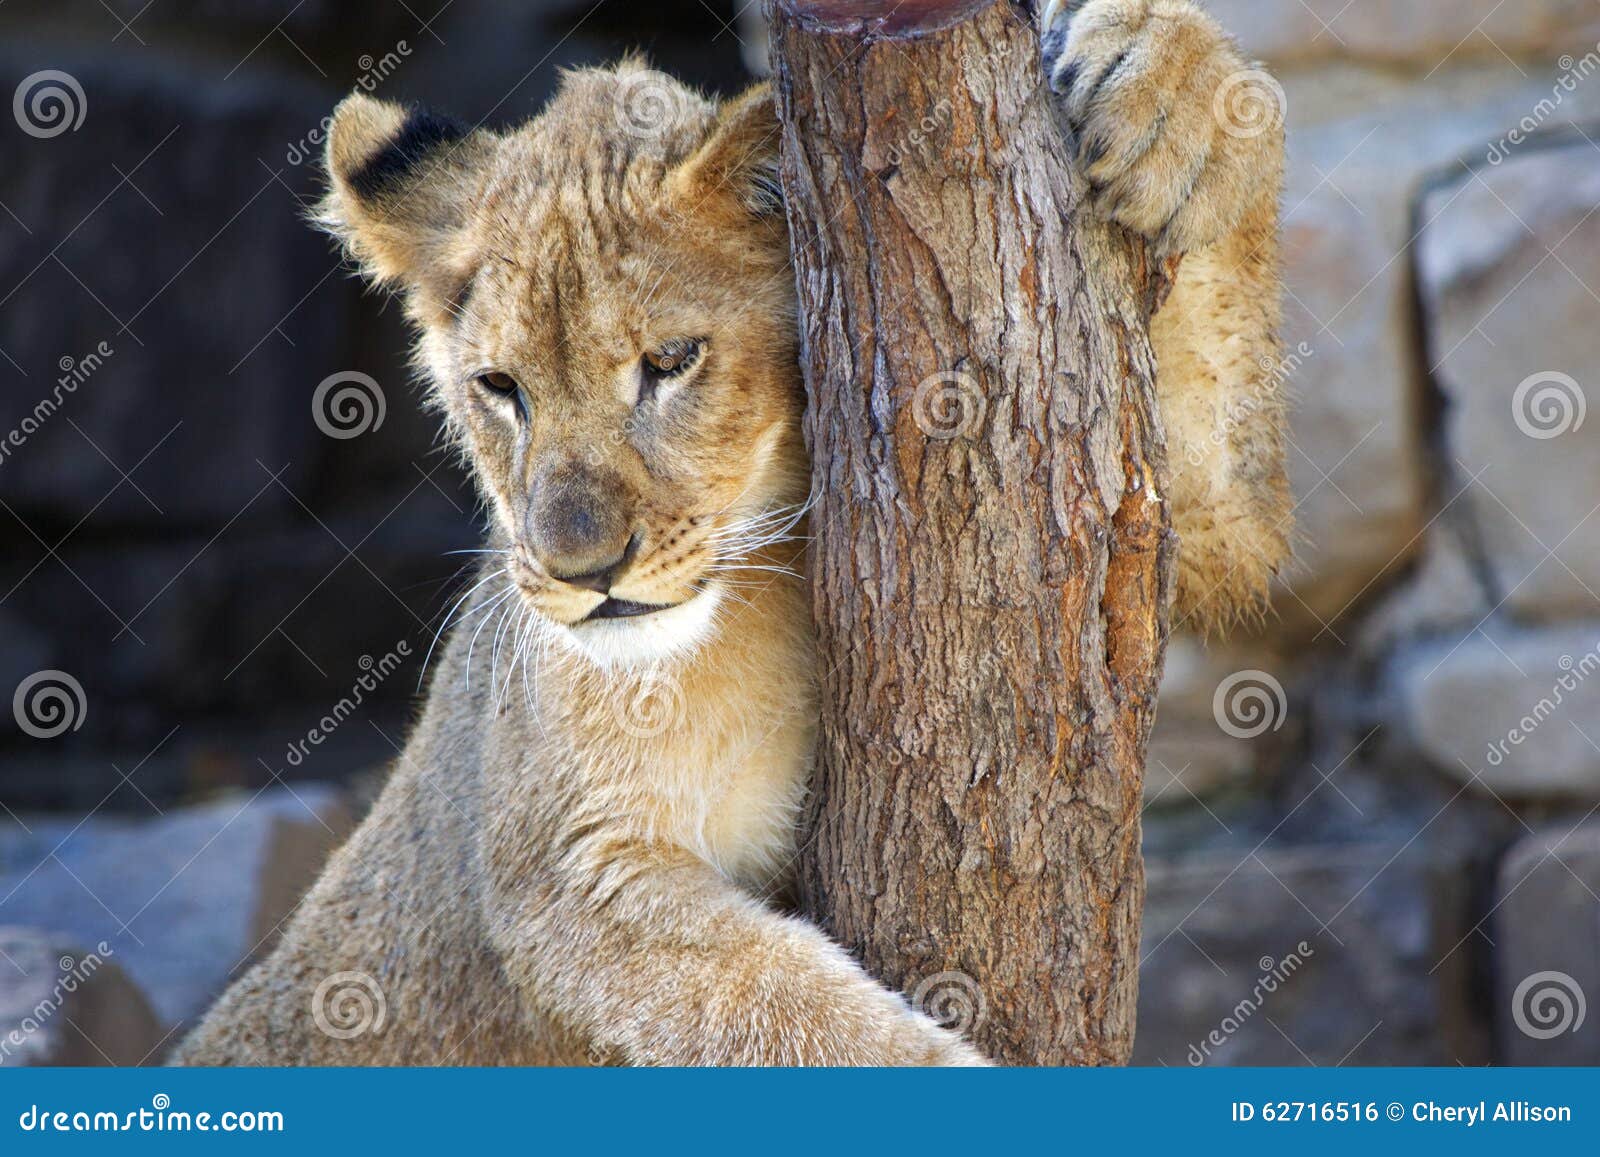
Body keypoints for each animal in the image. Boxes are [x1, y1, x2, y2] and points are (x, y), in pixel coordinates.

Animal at [172, 0, 1287, 1066]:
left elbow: (1221, 483)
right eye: (499, 387)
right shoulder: (562, 872)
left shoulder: (1158, 518)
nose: (584, 571)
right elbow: (778, 1004)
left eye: (671, 361)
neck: (760, 572)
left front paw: (1173, 86)